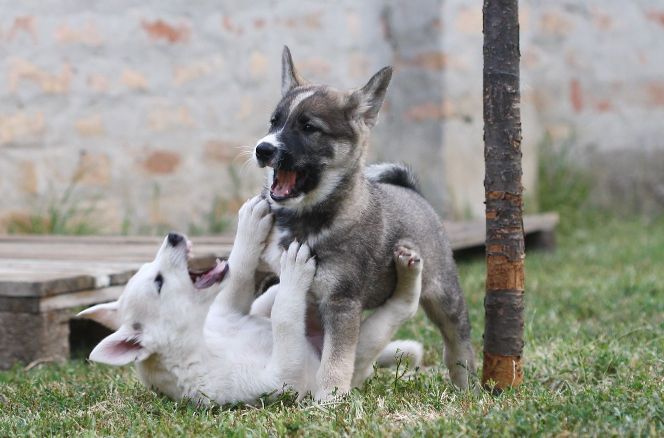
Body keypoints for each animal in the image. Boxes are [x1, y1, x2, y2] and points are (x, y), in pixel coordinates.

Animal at [76, 197, 420, 406]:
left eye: (151, 269)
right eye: (158, 282)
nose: (173, 236)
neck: (204, 340)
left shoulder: (230, 309)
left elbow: (239, 274)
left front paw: (251, 224)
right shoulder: (280, 376)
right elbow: (283, 319)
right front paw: (295, 270)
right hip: (357, 351)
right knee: (400, 309)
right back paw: (407, 274)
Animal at [252, 48, 474, 400]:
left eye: (309, 127)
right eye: (274, 121)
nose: (263, 149)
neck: (311, 219)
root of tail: (413, 192)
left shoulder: (342, 303)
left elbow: (336, 359)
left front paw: (329, 399)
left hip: (445, 296)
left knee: (458, 344)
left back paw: (468, 387)